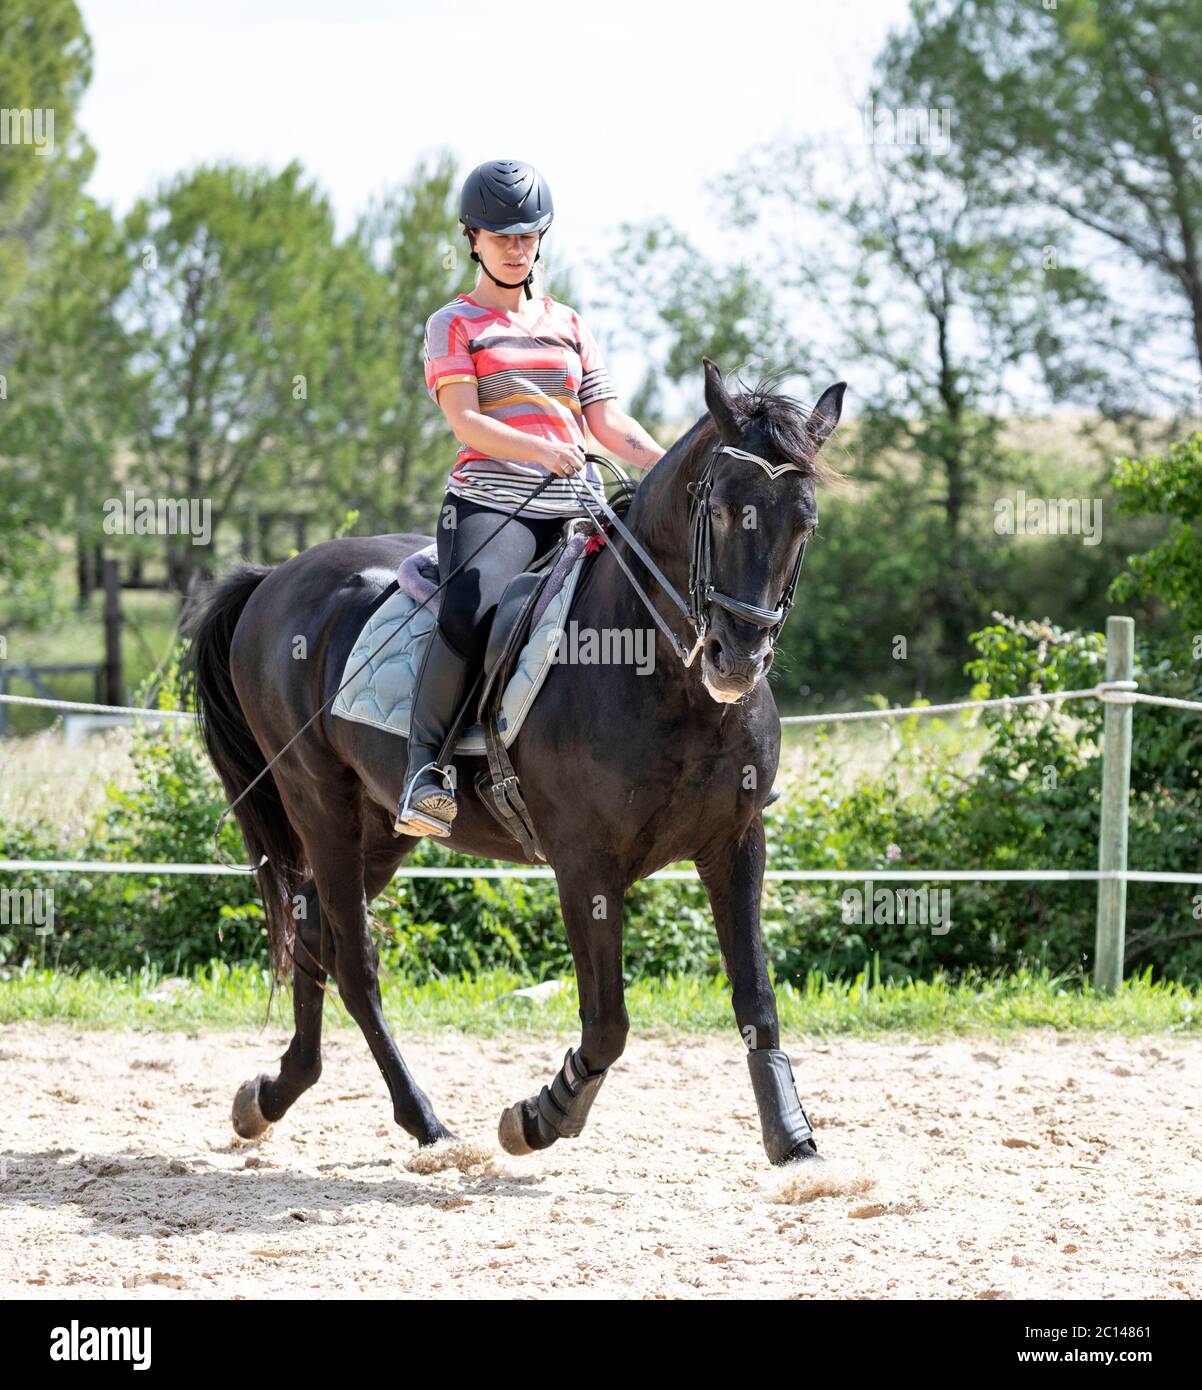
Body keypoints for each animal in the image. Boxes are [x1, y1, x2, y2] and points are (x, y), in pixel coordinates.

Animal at [183, 358, 845, 1166]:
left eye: (804, 522)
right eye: (717, 510)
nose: (736, 659)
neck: (666, 680)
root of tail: (275, 578)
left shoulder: (736, 843)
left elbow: (757, 999)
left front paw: (793, 1138)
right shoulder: (586, 867)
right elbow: (608, 1023)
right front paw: (540, 1116)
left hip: (381, 824)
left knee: (312, 931)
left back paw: (274, 1095)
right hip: (318, 801)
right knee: (353, 960)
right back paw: (424, 1121)